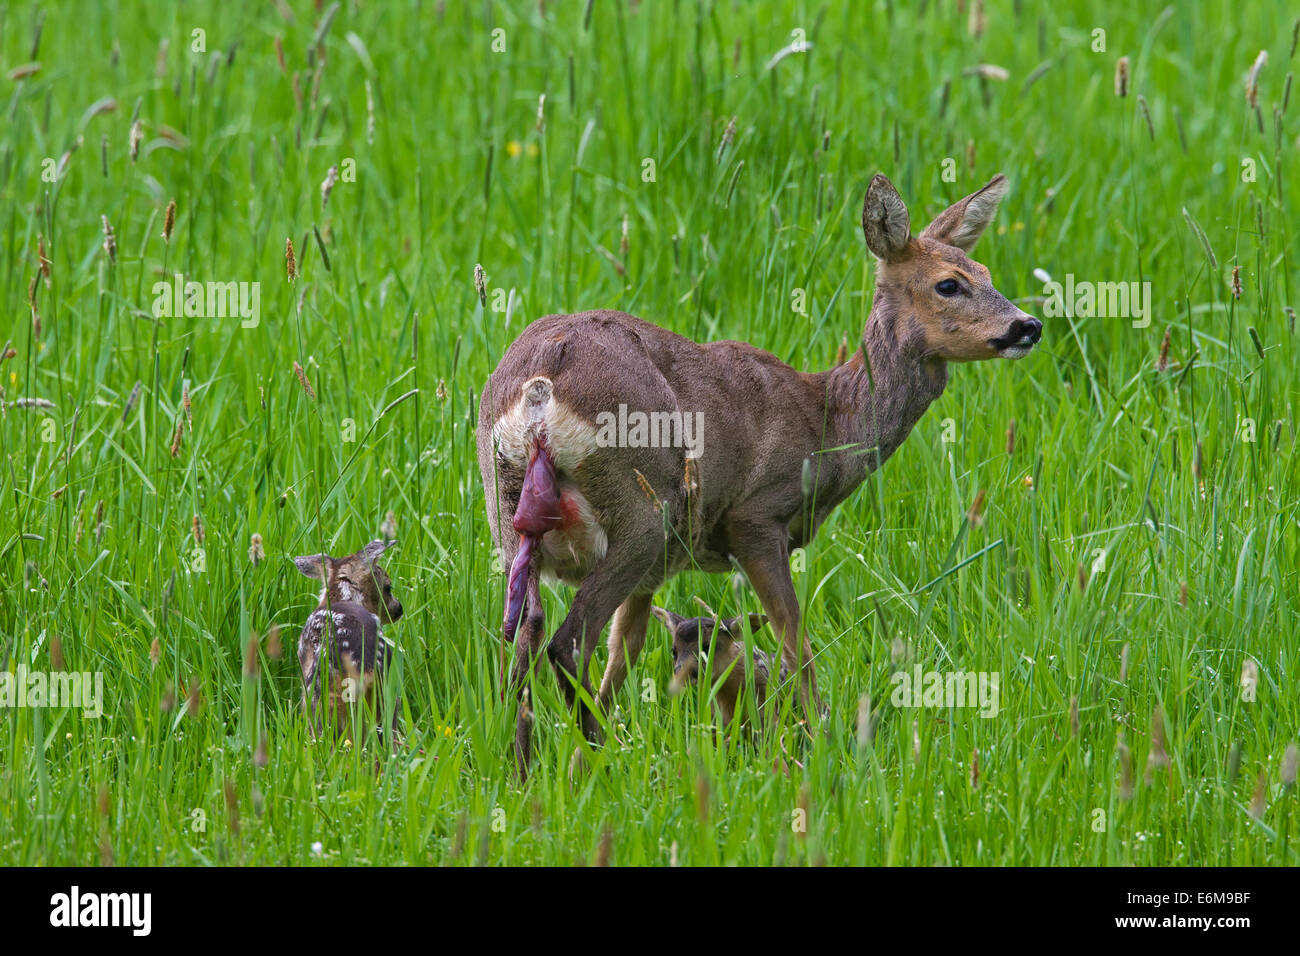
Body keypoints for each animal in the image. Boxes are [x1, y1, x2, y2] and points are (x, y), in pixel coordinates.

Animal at [477, 172, 1040, 777]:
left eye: (985, 272)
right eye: (948, 284)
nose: (1027, 325)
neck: (825, 423)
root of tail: (540, 386)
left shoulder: (660, 567)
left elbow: (624, 652)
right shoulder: (756, 519)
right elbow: (796, 644)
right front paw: (821, 745)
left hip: (510, 511)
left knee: (525, 637)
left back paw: (532, 767)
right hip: (644, 507)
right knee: (566, 641)